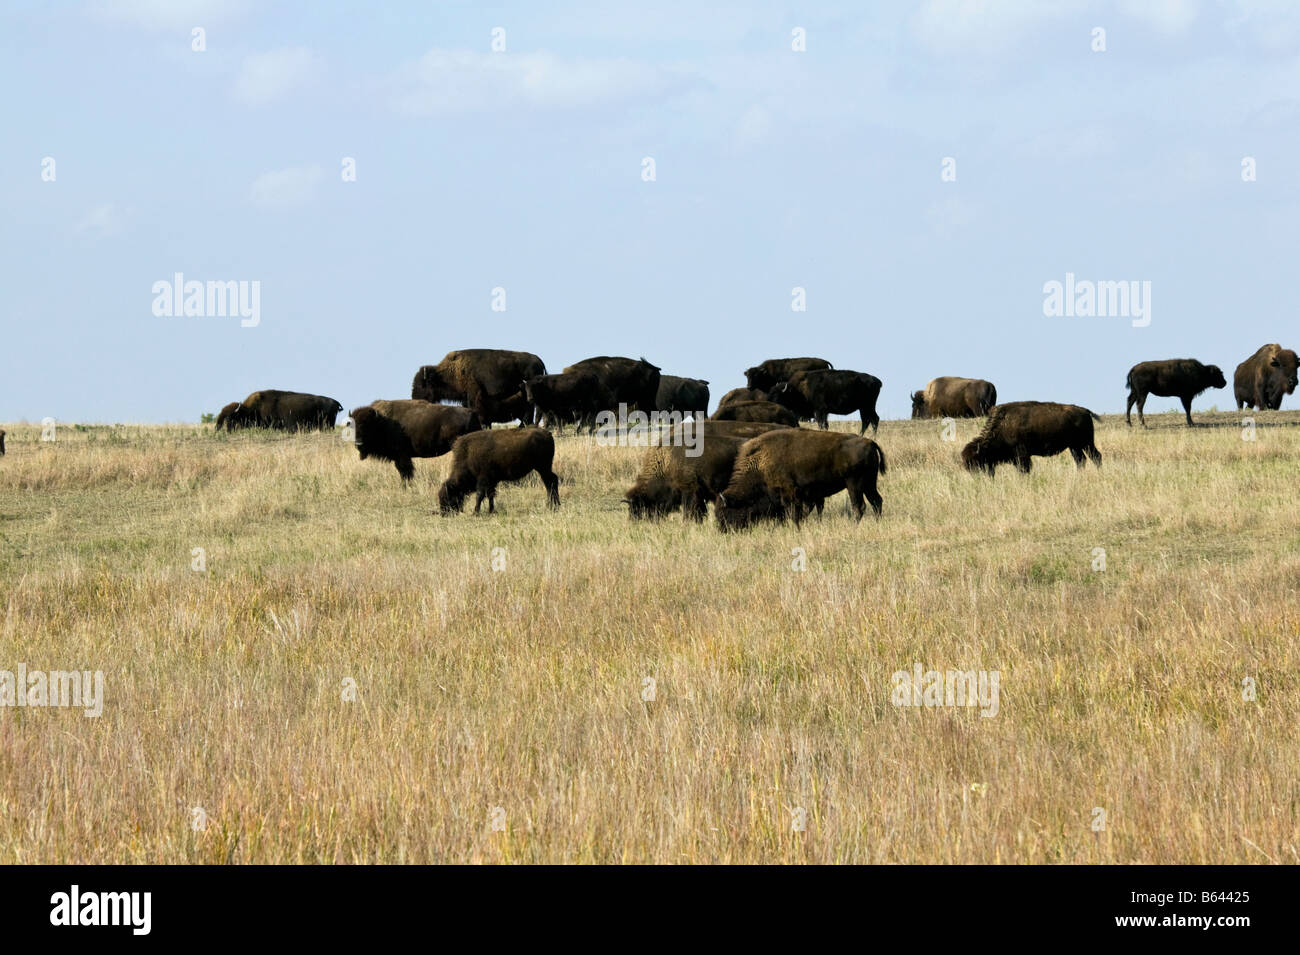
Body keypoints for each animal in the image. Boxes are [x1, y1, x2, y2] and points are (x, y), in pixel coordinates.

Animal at [351, 399, 481, 481]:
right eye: (353, 425)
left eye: (367, 425)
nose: (358, 443)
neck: (382, 422)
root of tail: (472, 413)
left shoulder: (402, 456)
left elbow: (405, 471)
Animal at [716, 428, 886, 530]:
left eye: (726, 512)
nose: (724, 531)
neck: (760, 462)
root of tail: (869, 442)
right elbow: (800, 512)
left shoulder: (790, 493)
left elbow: (793, 513)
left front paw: (796, 528)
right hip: (869, 483)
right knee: (876, 501)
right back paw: (877, 523)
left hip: (854, 484)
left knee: (859, 506)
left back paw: (853, 526)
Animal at [961, 401, 1101, 476]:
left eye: (977, 462)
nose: (977, 478)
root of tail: (1084, 411)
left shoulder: (1022, 456)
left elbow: (1024, 470)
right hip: (1074, 447)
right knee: (1081, 460)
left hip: (1086, 443)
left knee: (1096, 457)